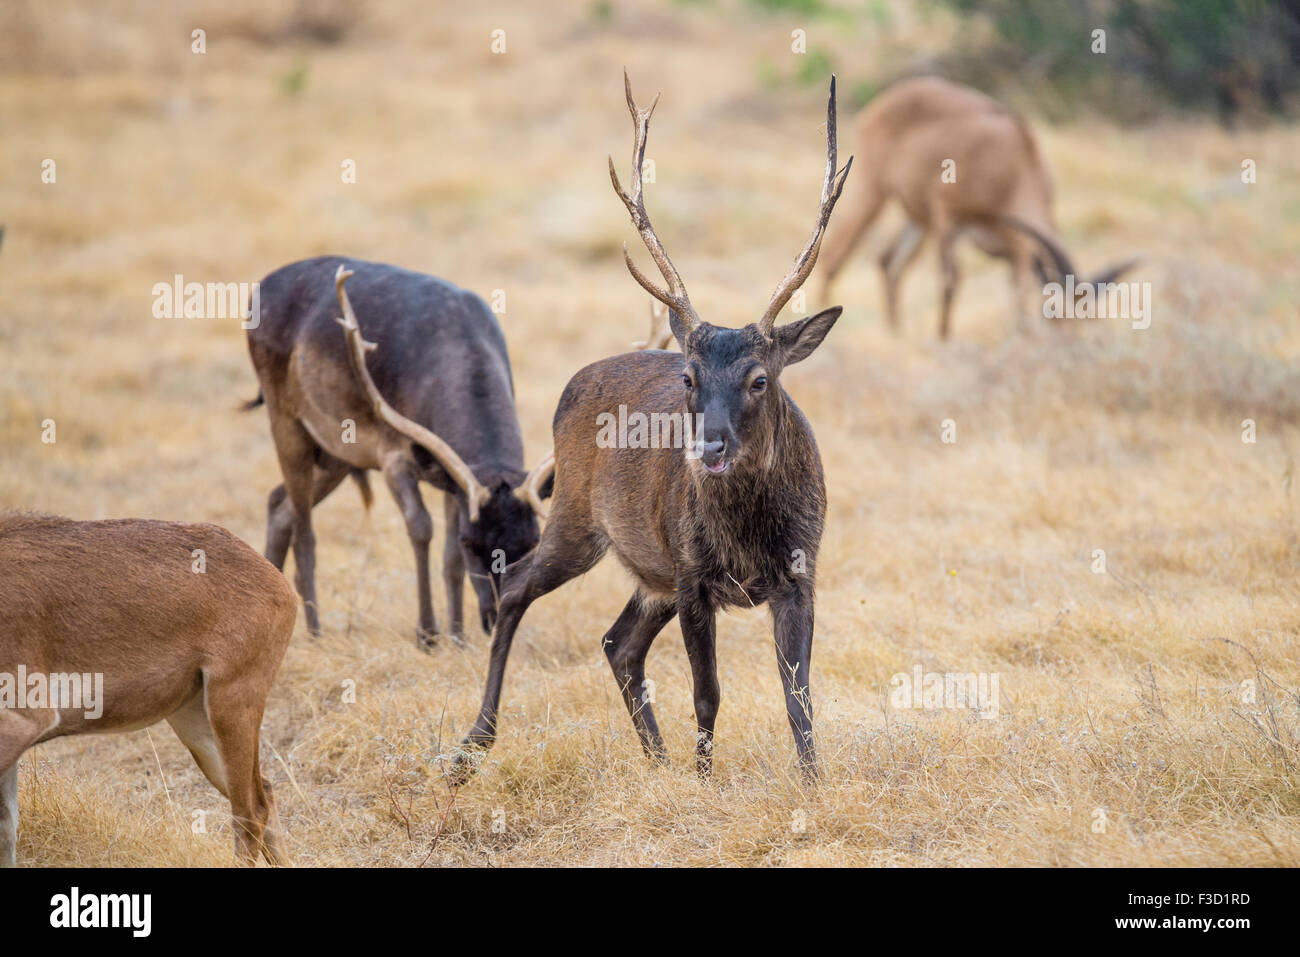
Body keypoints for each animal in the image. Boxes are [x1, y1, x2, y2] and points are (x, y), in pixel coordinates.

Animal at [0, 512, 295, 866]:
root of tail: (275, 578)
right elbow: (8, 832)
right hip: (197, 724)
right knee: (265, 793)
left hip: (231, 707)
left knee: (251, 813)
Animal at [245, 257, 553, 649]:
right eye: (472, 543)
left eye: (532, 542)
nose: (494, 618)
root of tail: (257, 292)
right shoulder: (394, 455)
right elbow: (421, 528)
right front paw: (428, 633)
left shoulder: (452, 478)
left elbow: (449, 558)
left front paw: (456, 634)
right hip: (285, 417)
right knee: (304, 530)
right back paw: (315, 632)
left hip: (336, 453)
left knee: (277, 502)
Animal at [436, 72, 851, 785]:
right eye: (688, 377)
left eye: (760, 379)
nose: (708, 447)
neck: (748, 536)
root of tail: (574, 384)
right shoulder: (691, 574)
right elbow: (708, 691)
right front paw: (706, 781)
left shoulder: (801, 570)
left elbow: (798, 696)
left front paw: (813, 783)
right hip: (578, 516)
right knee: (516, 589)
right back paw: (474, 744)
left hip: (647, 568)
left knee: (617, 642)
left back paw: (656, 758)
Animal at [817, 76, 1139, 339]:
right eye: (1056, 315)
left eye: (1091, 318)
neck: (1013, 159)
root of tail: (885, 100)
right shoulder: (948, 216)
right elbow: (951, 280)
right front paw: (944, 339)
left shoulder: (1011, 250)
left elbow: (1015, 291)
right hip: (873, 193)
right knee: (833, 257)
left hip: (918, 221)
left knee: (889, 262)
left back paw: (897, 333)